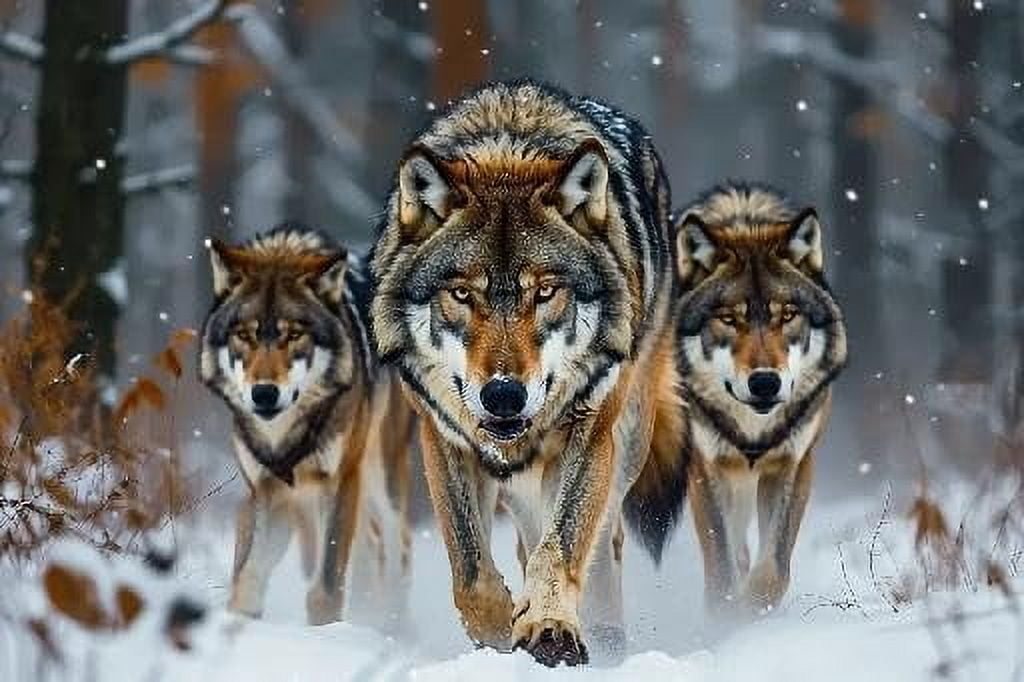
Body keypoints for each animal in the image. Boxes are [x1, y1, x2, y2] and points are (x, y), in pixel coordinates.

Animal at [200, 226, 413, 627]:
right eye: (245, 335)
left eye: (294, 334)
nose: (264, 393)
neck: (285, 435)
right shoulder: (266, 493)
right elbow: (247, 576)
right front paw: (242, 623)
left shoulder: (340, 482)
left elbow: (325, 587)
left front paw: (329, 633)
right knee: (370, 547)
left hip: (381, 480)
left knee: (397, 545)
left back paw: (393, 623)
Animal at [370, 80, 675, 666]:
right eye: (462, 294)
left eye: (546, 291)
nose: (505, 396)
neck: (508, 146)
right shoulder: (443, 437)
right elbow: (471, 575)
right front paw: (497, 633)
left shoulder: (591, 431)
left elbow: (560, 549)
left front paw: (549, 627)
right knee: (524, 540)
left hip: (625, 442)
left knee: (599, 540)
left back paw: (606, 635)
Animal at [626, 182, 848, 617]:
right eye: (729, 319)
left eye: (787, 315)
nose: (764, 383)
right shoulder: (706, 467)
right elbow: (722, 566)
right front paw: (727, 616)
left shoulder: (793, 464)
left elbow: (773, 569)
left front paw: (750, 613)